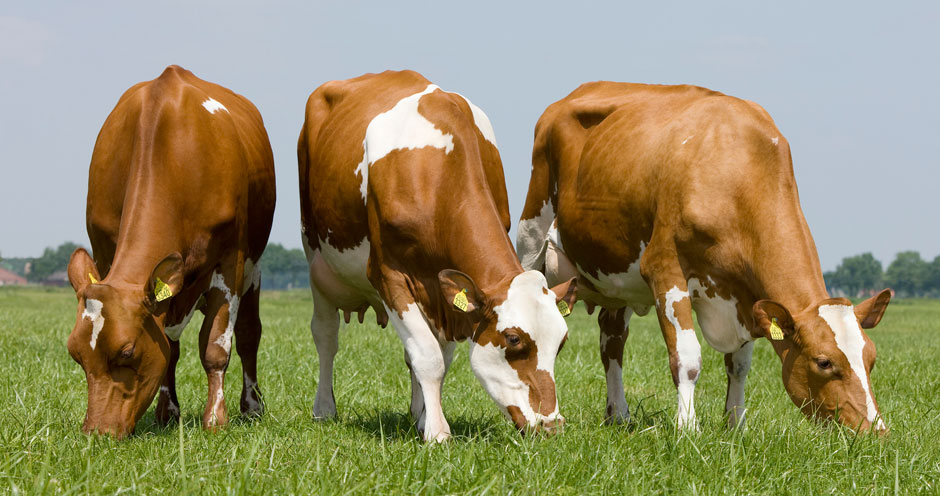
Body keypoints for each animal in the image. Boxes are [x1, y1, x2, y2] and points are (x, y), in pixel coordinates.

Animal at [66, 65, 276, 439]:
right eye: (76, 354)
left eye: (127, 352)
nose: (97, 432)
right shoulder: (106, 253)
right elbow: (167, 347)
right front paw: (167, 411)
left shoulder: (231, 260)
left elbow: (216, 346)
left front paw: (215, 420)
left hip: (254, 269)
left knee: (250, 334)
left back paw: (251, 407)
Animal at [298, 70, 576, 442]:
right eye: (514, 339)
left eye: (561, 341)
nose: (551, 426)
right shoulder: (387, 275)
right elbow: (428, 357)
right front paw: (438, 433)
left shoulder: (446, 296)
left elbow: (438, 358)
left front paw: (426, 418)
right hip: (316, 261)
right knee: (326, 336)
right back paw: (324, 409)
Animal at [517, 81, 891, 432]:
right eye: (824, 362)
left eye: (871, 358)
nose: (876, 431)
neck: (737, 171)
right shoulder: (665, 270)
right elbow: (687, 358)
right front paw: (687, 426)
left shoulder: (746, 299)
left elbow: (739, 365)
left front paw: (736, 424)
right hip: (531, 239)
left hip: (616, 275)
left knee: (612, 342)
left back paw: (618, 415)